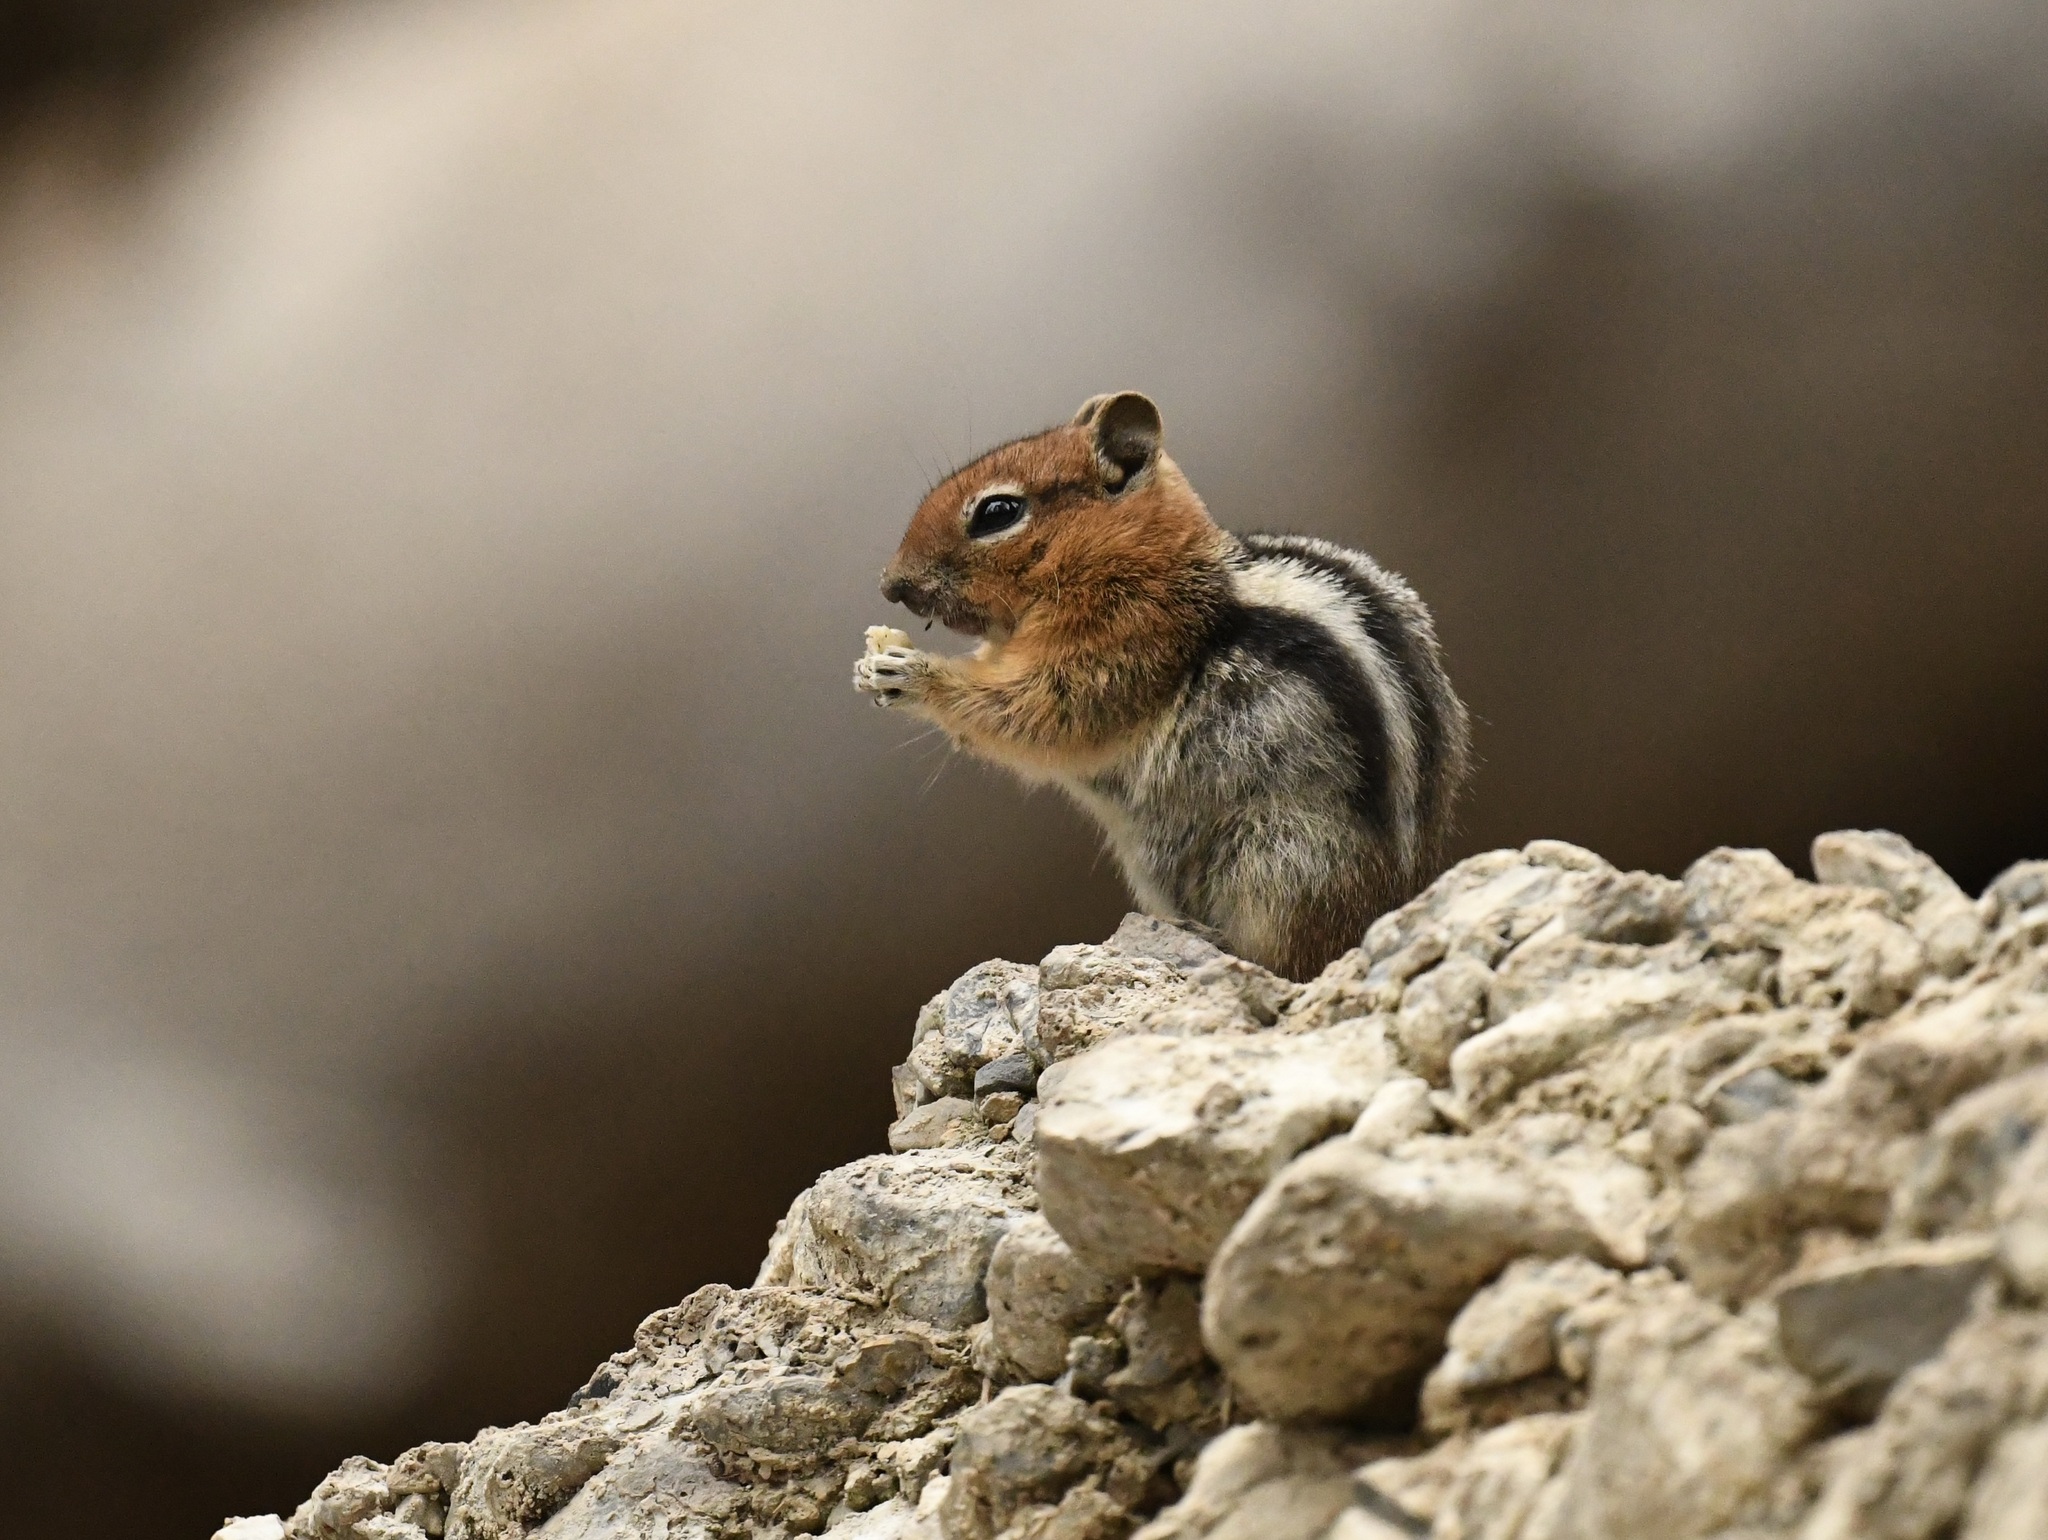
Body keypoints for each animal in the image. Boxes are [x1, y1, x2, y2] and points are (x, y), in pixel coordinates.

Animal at [853, 391, 1471, 980]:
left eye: (997, 511)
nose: (890, 584)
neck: (1139, 563)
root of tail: (1393, 901)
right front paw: (871, 664)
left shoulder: (1116, 649)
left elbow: (1034, 714)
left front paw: (911, 673)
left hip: (1277, 859)